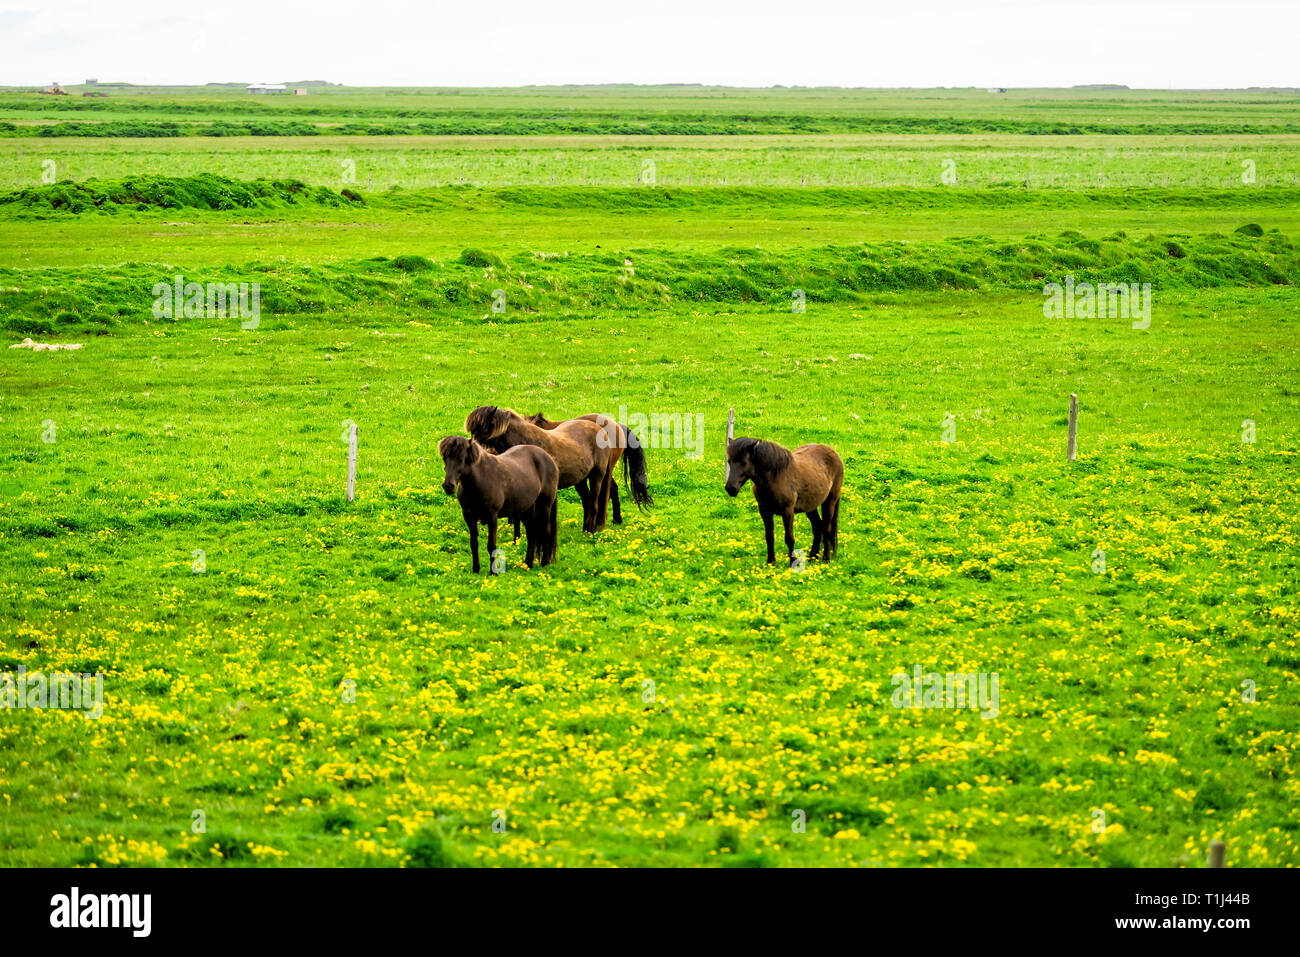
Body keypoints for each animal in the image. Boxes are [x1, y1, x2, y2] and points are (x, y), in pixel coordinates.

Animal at [438, 436, 558, 574]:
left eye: (461, 458)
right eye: (445, 458)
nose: (448, 486)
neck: (480, 480)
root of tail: (549, 459)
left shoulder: (492, 516)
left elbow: (491, 546)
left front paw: (493, 572)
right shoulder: (469, 517)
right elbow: (474, 543)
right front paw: (476, 569)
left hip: (544, 506)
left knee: (546, 532)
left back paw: (544, 563)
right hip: (526, 510)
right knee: (531, 535)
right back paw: (528, 564)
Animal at [465, 406, 619, 533]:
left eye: (484, 430)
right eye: (472, 431)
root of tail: (601, 431)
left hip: (597, 476)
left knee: (594, 503)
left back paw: (590, 531)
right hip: (580, 480)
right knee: (587, 501)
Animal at [724, 437, 843, 566]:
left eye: (744, 462)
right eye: (729, 461)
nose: (730, 488)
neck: (775, 476)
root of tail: (834, 453)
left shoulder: (788, 511)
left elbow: (789, 538)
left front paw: (793, 562)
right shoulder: (764, 511)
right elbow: (769, 536)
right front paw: (771, 562)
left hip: (830, 501)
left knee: (827, 528)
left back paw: (826, 559)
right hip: (811, 506)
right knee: (818, 527)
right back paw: (812, 557)